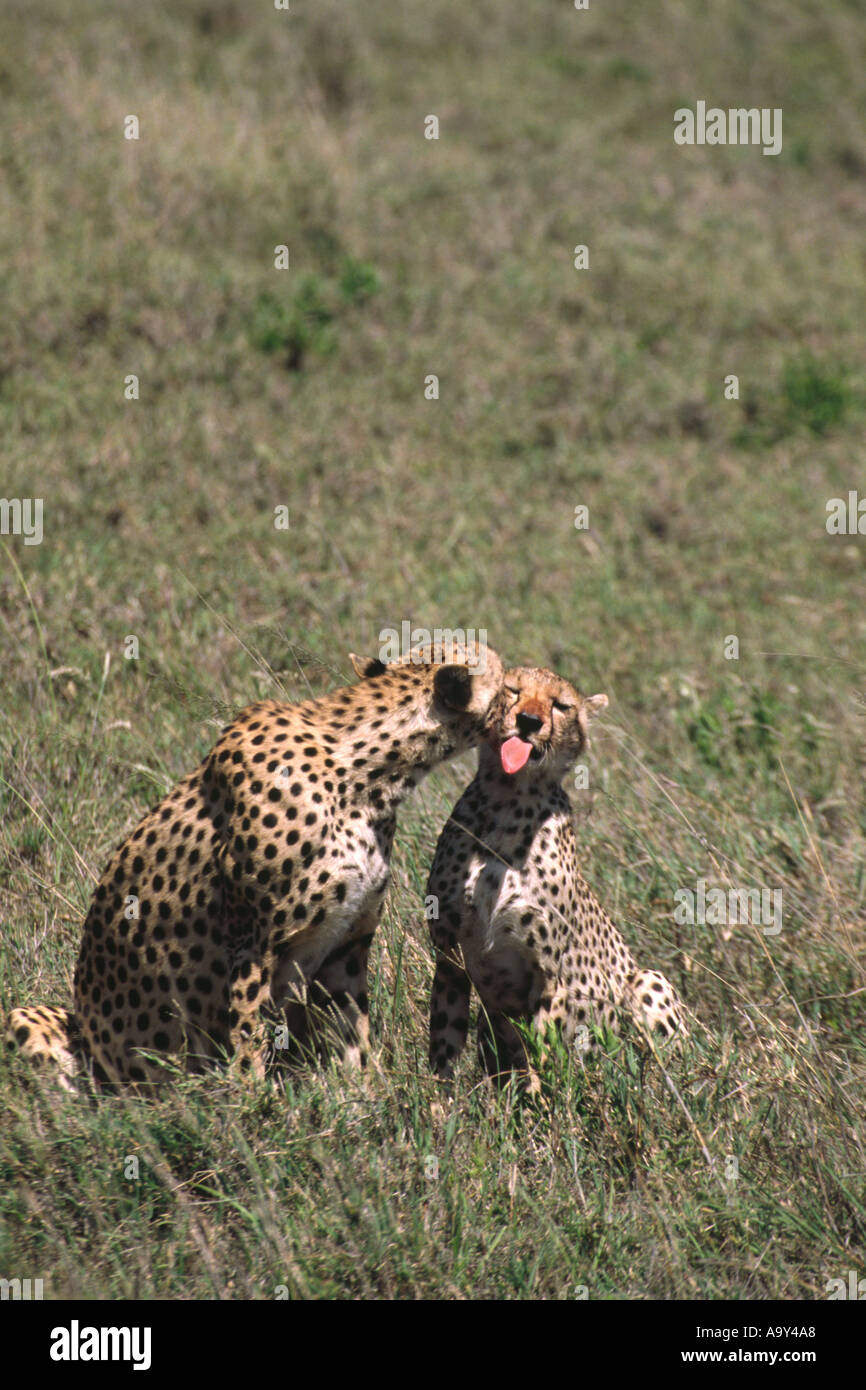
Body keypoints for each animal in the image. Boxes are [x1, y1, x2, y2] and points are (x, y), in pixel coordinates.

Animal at [7, 639, 504, 1089]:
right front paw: (257, 1110)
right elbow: (249, 1043)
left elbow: (353, 1035)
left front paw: (367, 1098)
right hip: (33, 1022)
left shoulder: (346, 946)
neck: (369, 774)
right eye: (507, 684)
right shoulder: (252, 944)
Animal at [425, 665, 686, 1086]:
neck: (508, 799)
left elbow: (542, 1057)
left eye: (561, 705)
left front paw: (539, 1103)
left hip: (647, 980)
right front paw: (438, 1101)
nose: (529, 721)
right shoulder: (449, 959)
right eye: (512, 690)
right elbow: (443, 1044)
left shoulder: (549, 976)